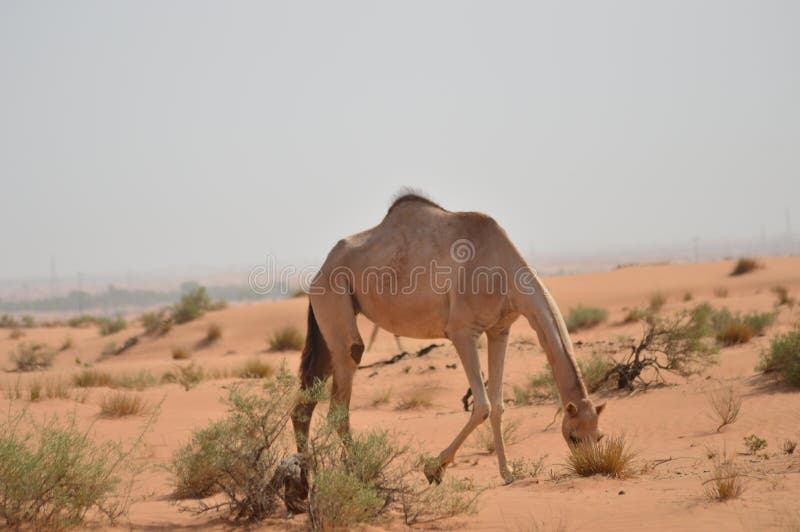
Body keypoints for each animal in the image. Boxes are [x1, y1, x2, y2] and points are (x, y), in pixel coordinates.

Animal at [291, 193, 605, 485]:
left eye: (599, 436)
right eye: (573, 435)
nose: (589, 467)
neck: (504, 269)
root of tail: (320, 271)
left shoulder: (499, 330)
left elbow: (498, 405)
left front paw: (507, 473)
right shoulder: (462, 331)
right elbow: (482, 406)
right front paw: (433, 468)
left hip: (327, 324)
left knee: (304, 406)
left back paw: (304, 482)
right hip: (334, 296)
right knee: (342, 387)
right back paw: (359, 475)